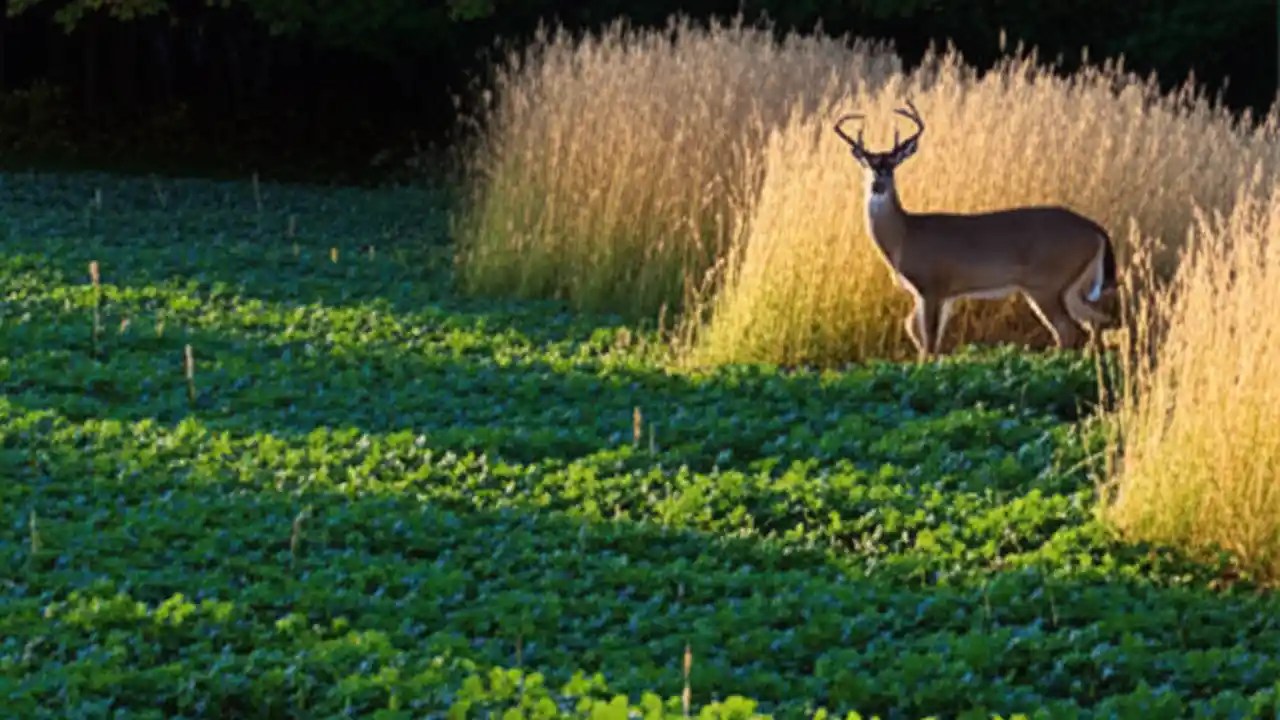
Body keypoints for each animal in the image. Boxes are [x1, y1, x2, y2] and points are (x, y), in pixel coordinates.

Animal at [833, 100, 1118, 362]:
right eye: (868, 165)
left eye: (892, 165)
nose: (877, 185)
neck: (904, 236)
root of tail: (1096, 229)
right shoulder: (943, 294)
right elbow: (914, 329)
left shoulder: (931, 284)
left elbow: (929, 341)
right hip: (1071, 285)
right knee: (1097, 321)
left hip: (1047, 281)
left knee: (1067, 330)